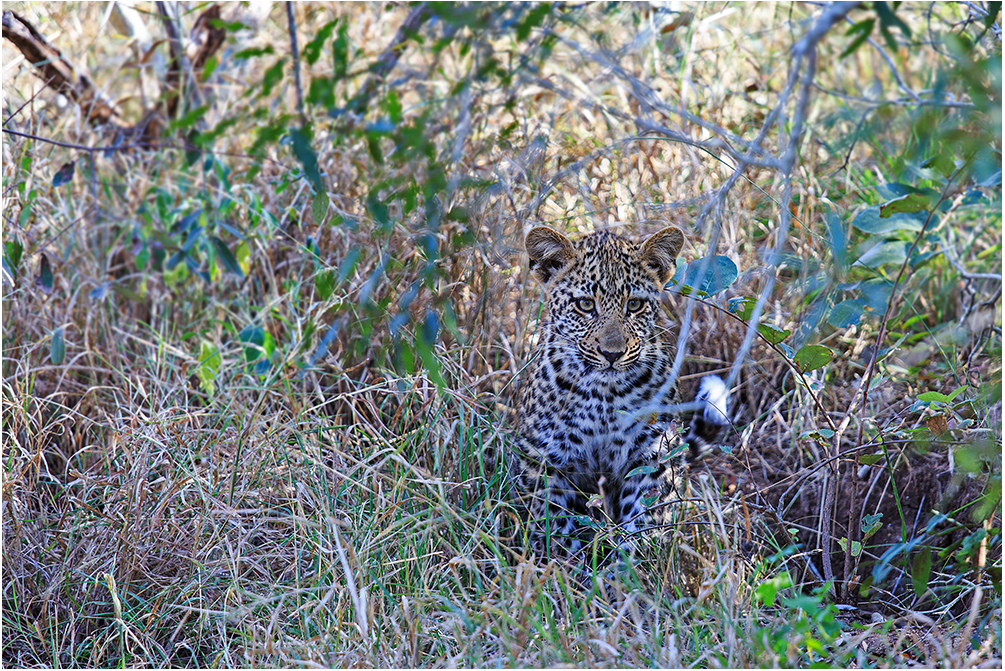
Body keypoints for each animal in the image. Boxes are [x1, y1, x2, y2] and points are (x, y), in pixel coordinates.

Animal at [512, 224, 717, 557]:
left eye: (634, 305)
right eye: (585, 305)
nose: (612, 353)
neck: (604, 396)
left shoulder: (652, 455)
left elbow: (646, 521)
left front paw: (631, 565)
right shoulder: (545, 458)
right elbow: (555, 524)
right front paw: (567, 564)